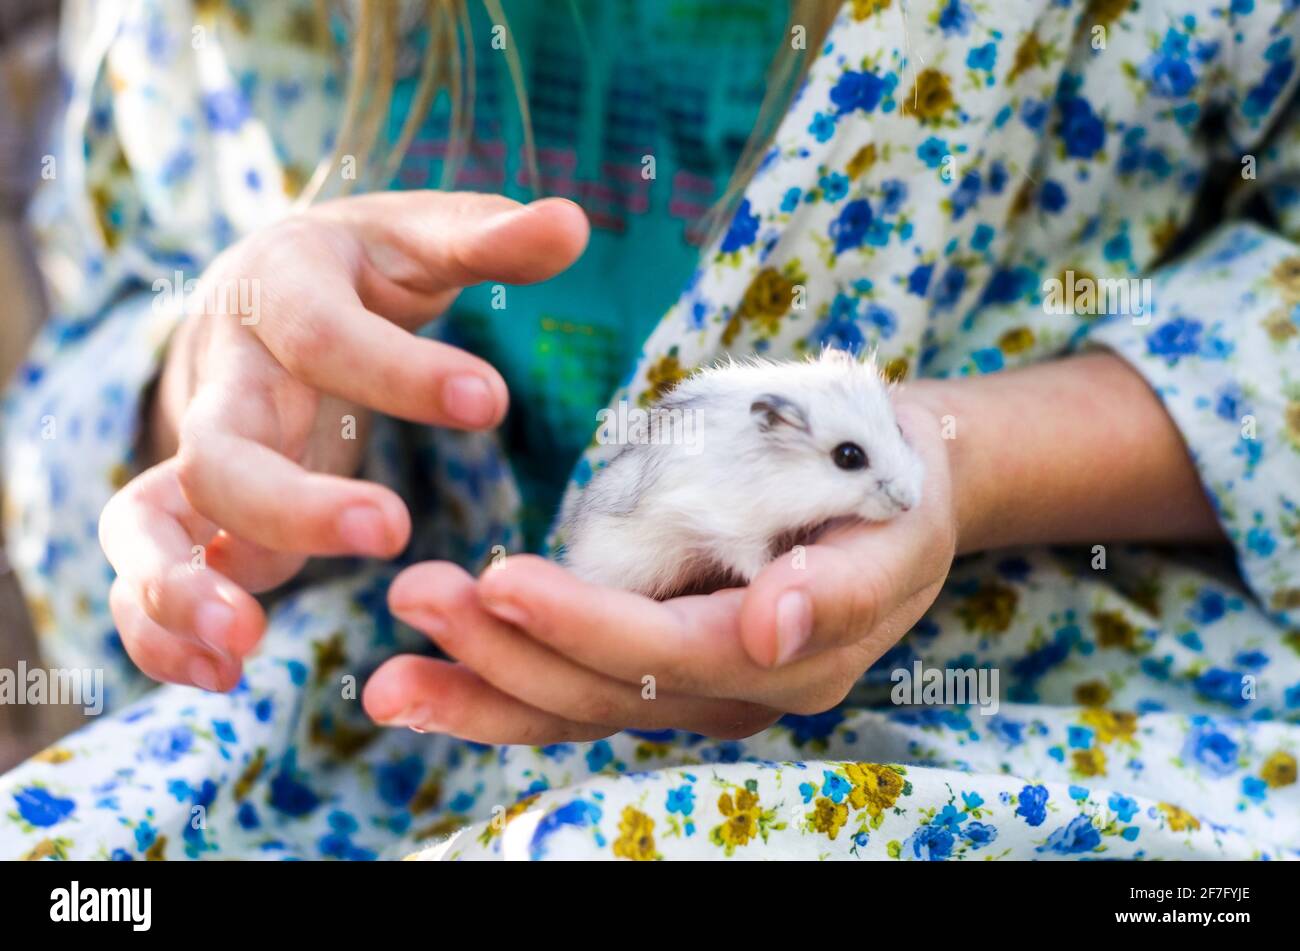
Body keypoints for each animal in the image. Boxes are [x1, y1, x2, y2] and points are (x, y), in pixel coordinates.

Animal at [558, 348, 924, 599]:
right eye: (848, 457)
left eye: (898, 429)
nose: (910, 503)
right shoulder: (728, 528)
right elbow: (747, 559)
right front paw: (769, 572)